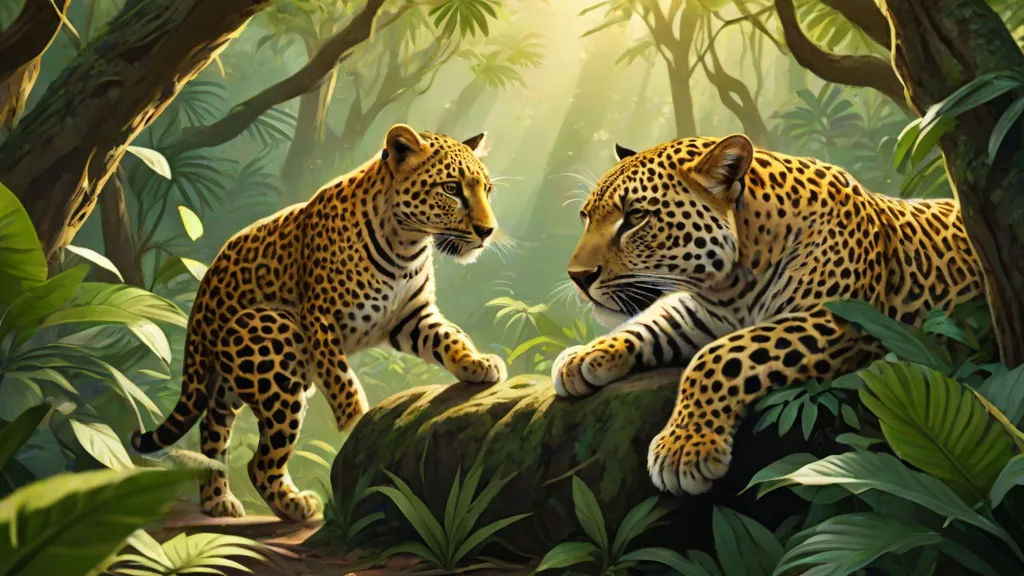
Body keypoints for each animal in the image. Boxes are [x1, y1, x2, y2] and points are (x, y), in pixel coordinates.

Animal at [132, 124, 506, 521]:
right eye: (451, 189)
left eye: (487, 190)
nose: (487, 230)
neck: (406, 245)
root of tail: (201, 304)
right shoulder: (320, 318)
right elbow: (343, 382)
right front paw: (357, 427)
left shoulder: (413, 317)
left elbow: (451, 337)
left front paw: (477, 363)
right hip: (274, 337)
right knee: (259, 461)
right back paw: (294, 505)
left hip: (231, 380)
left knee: (213, 423)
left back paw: (217, 500)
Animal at [552, 134, 984, 496]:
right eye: (586, 217)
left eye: (636, 217)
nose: (577, 276)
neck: (733, 282)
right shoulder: (698, 315)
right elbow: (652, 322)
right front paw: (581, 357)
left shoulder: (835, 318)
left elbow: (718, 357)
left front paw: (683, 449)